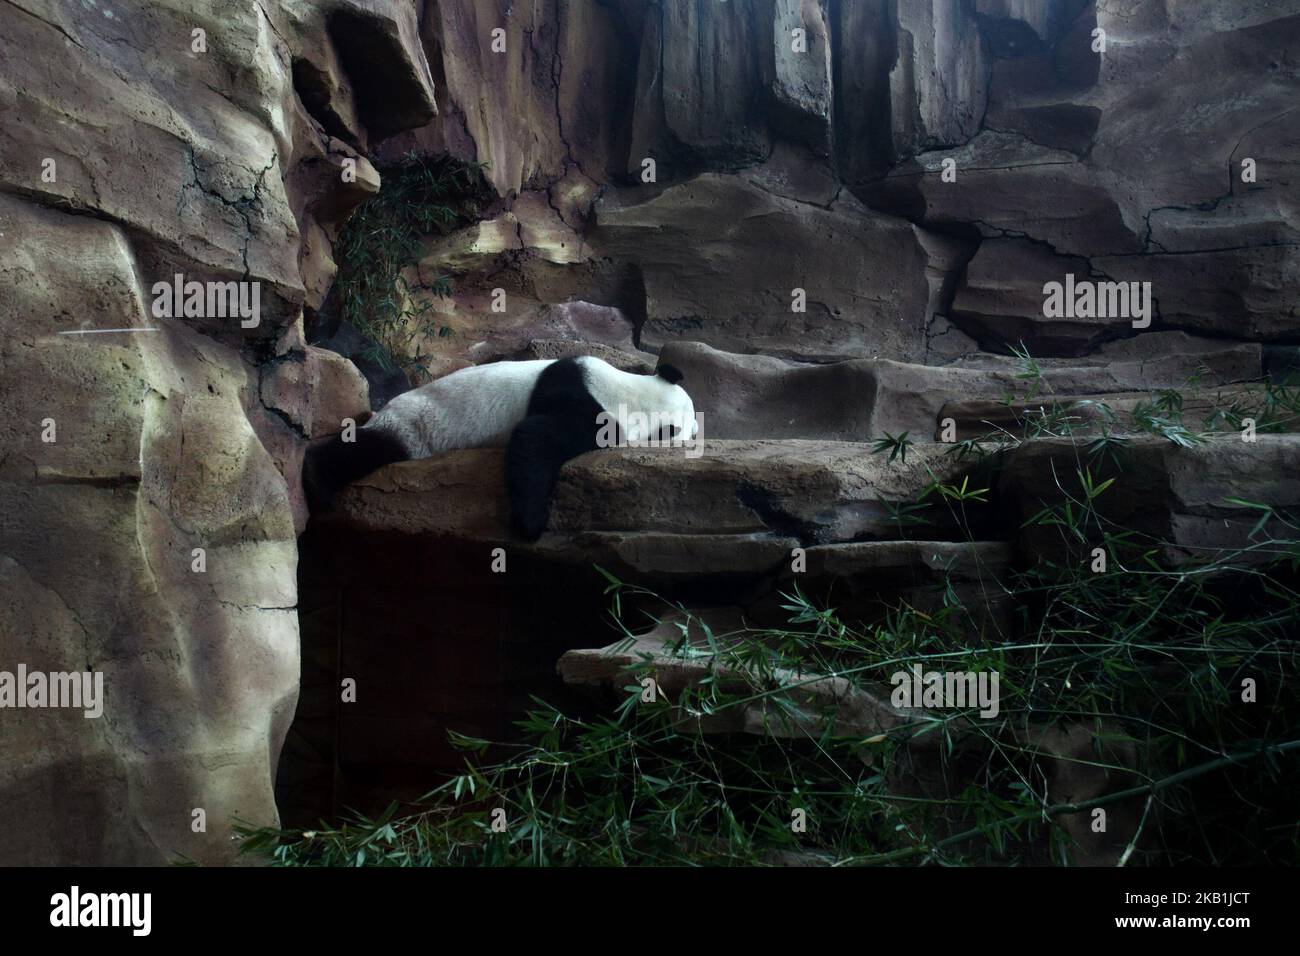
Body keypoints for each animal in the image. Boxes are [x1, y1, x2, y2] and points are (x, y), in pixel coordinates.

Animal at [303, 355, 698, 540]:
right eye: (692, 431)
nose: (696, 436)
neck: (629, 394)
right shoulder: (583, 405)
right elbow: (533, 440)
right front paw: (532, 525)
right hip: (414, 426)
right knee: (368, 448)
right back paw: (317, 484)